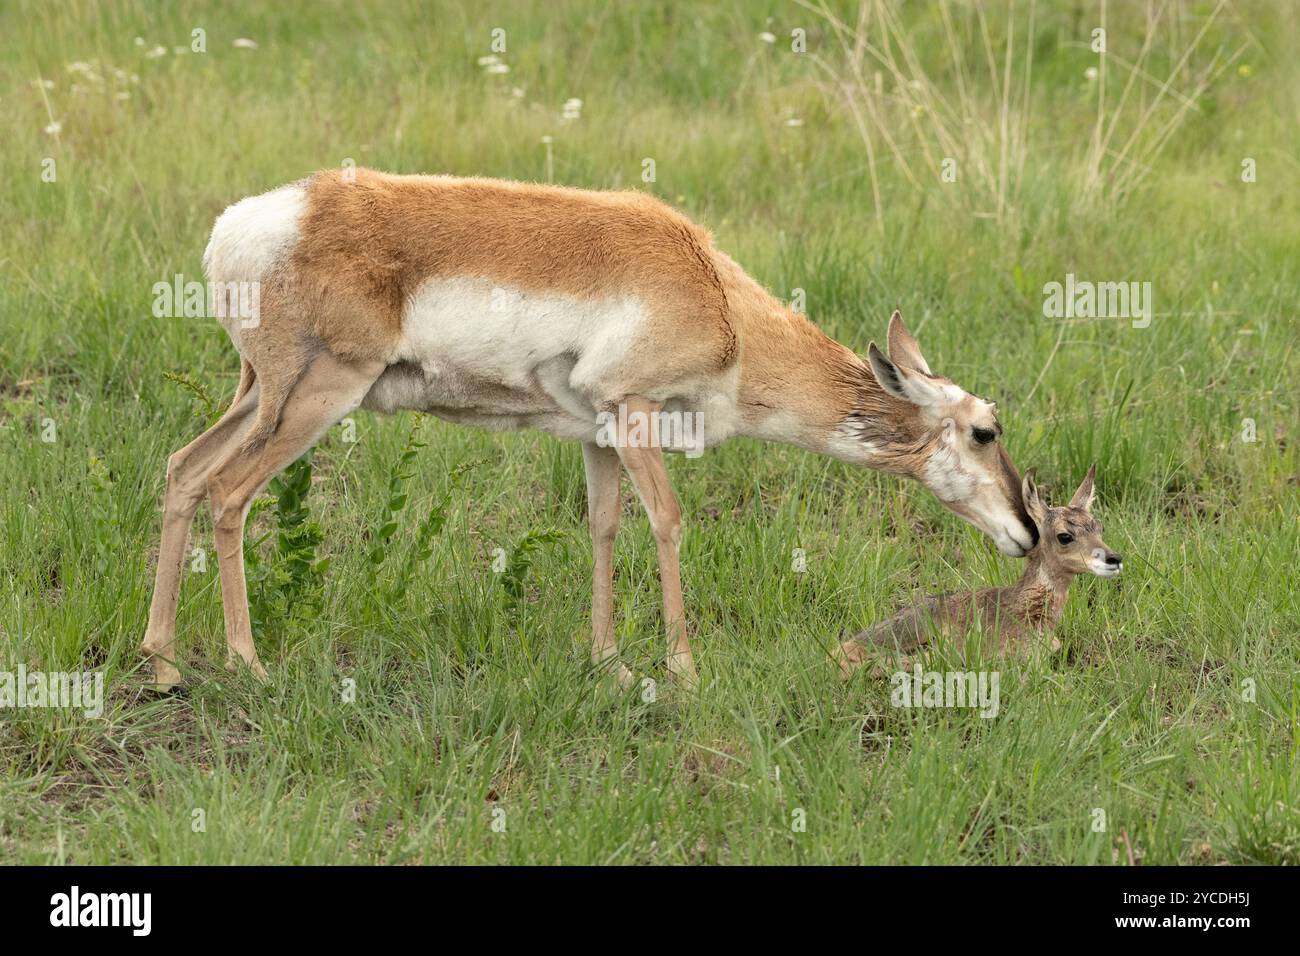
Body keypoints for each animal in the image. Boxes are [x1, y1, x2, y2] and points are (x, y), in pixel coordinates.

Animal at [140, 168, 1037, 692]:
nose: (1031, 533)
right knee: (229, 493)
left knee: (184, 470)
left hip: (258, 395)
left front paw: (608, 661)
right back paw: (247, 664)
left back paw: (164, 664)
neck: (721, 301)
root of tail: (246, 224)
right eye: (986, 430)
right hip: (316, 397)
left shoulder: (597, 435)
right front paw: (683, 667)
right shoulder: (633, 409)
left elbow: (603, 527)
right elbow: (668, 522)